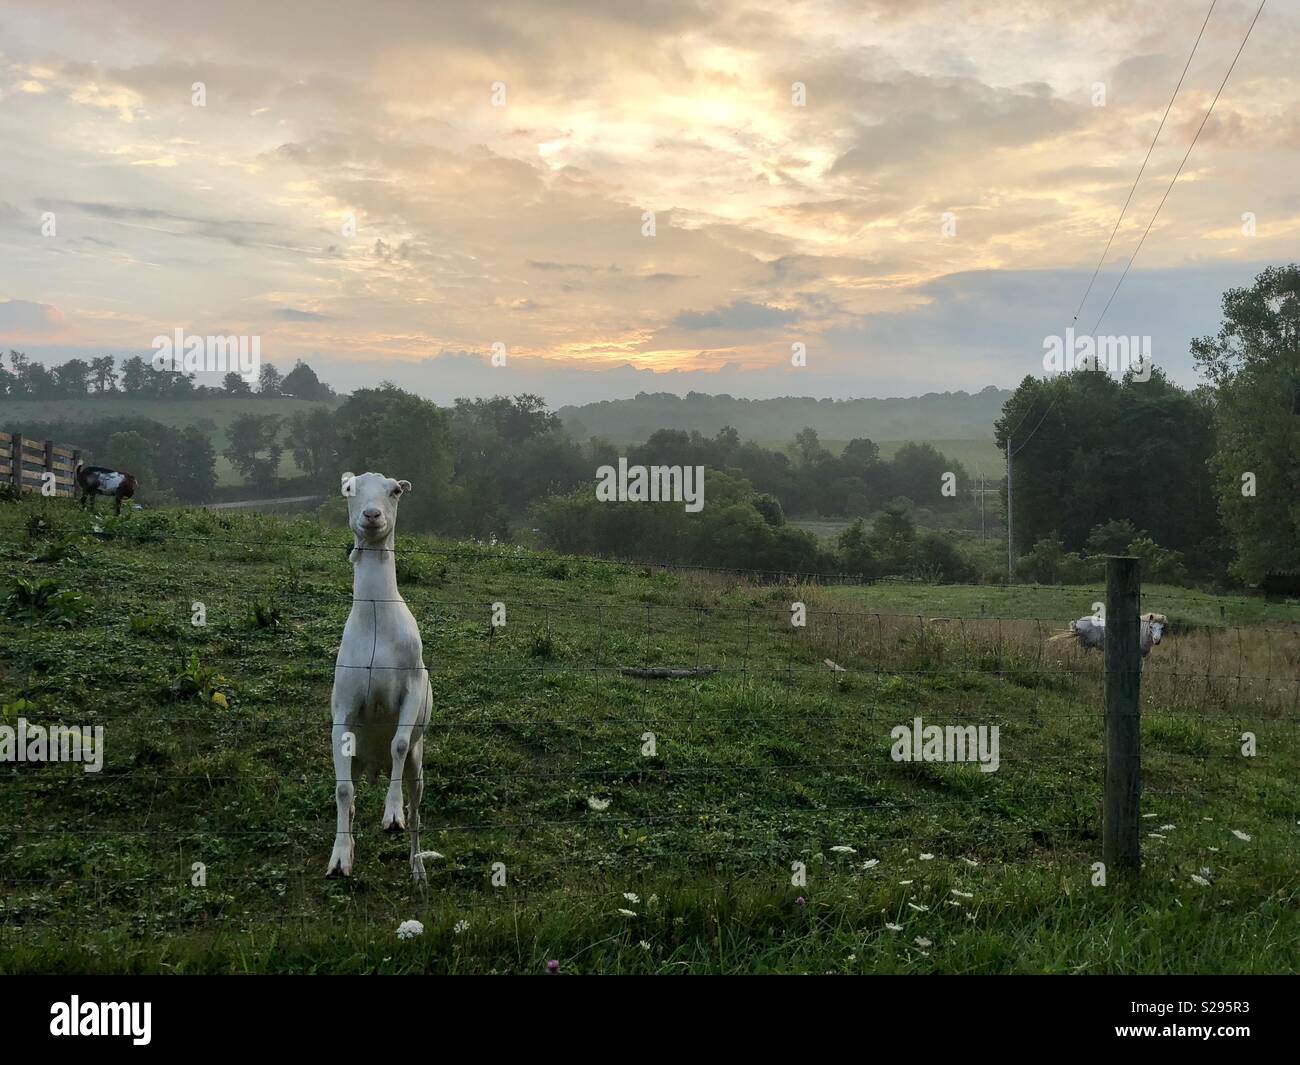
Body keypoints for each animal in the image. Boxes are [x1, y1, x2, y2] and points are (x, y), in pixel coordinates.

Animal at [327, 472, 433, 882]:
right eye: (348, 489)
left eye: (396, 490)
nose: (372, 515)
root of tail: (376, 769)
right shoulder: (344, 708)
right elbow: (342, 792)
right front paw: (340, 858)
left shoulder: (411, 690)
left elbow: (398, 743)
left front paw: (391, 815)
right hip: (358, 758)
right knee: (353, 796)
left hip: (419, 764)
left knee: (417, 808)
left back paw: (417, 866)